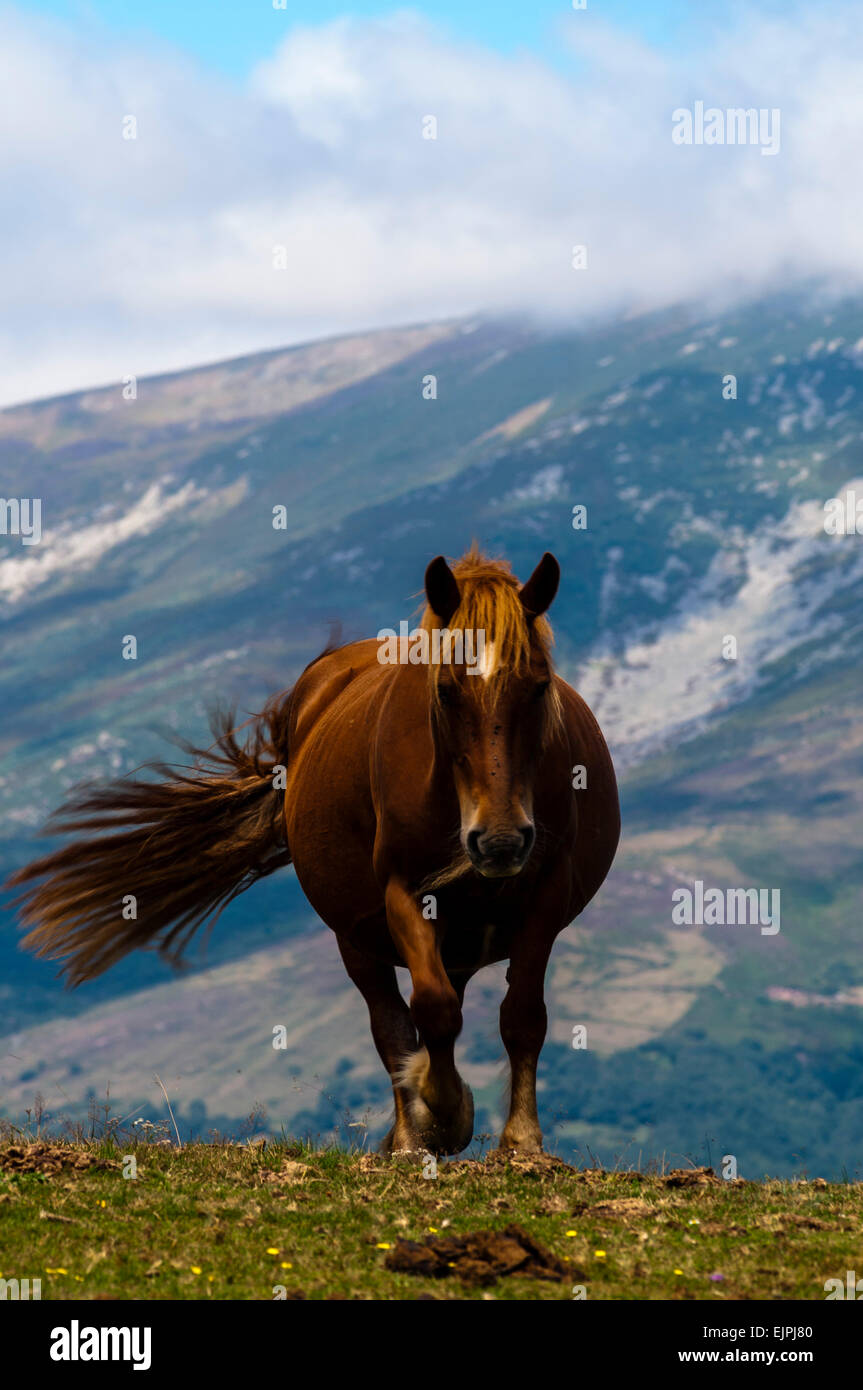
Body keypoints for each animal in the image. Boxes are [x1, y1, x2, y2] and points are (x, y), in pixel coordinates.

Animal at [8, 547, 620, 1155]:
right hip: (357, 938)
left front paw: (521, 1141)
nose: (499, 840)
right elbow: (431, 1012)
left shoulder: (545, 894)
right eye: (446, 690)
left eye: (537, 686)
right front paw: (443, 1117)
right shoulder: (404, 895)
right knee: (394, 1024)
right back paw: (408, 1133)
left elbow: (522, 1017)